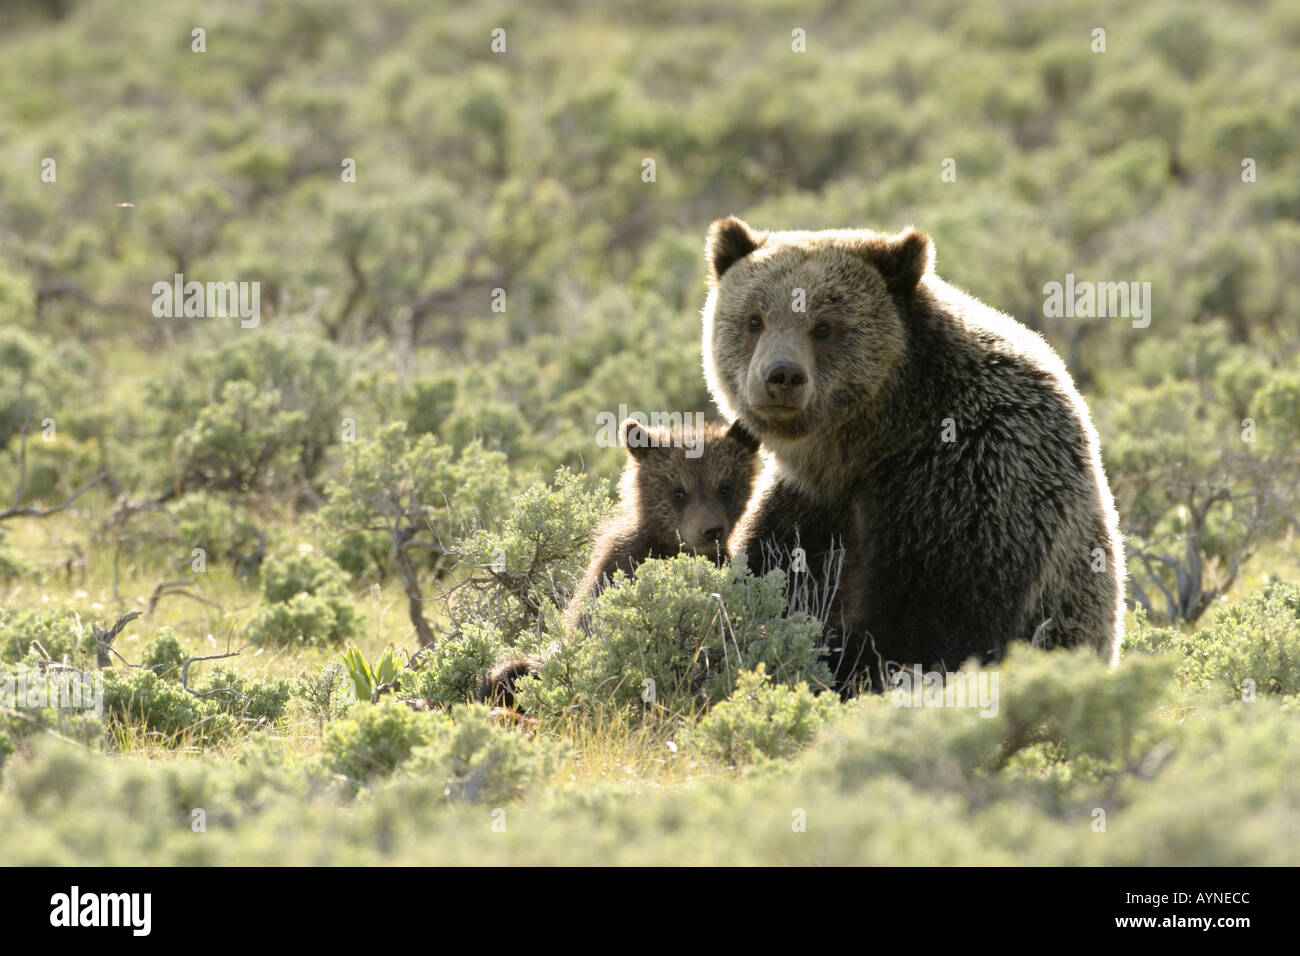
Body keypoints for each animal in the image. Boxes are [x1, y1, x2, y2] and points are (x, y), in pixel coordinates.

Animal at [473, 416, 762, 708]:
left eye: (724, 486)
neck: (668, 548)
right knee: (512, 672)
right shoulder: (617, 566)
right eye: (679, 491)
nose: (711, 530)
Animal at [701, 216, 1125, 695]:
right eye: (754, 319)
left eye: (824, 325)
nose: (782, 376)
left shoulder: (969, 479)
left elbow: (926, 628)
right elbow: (772, 570)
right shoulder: (807, 503)